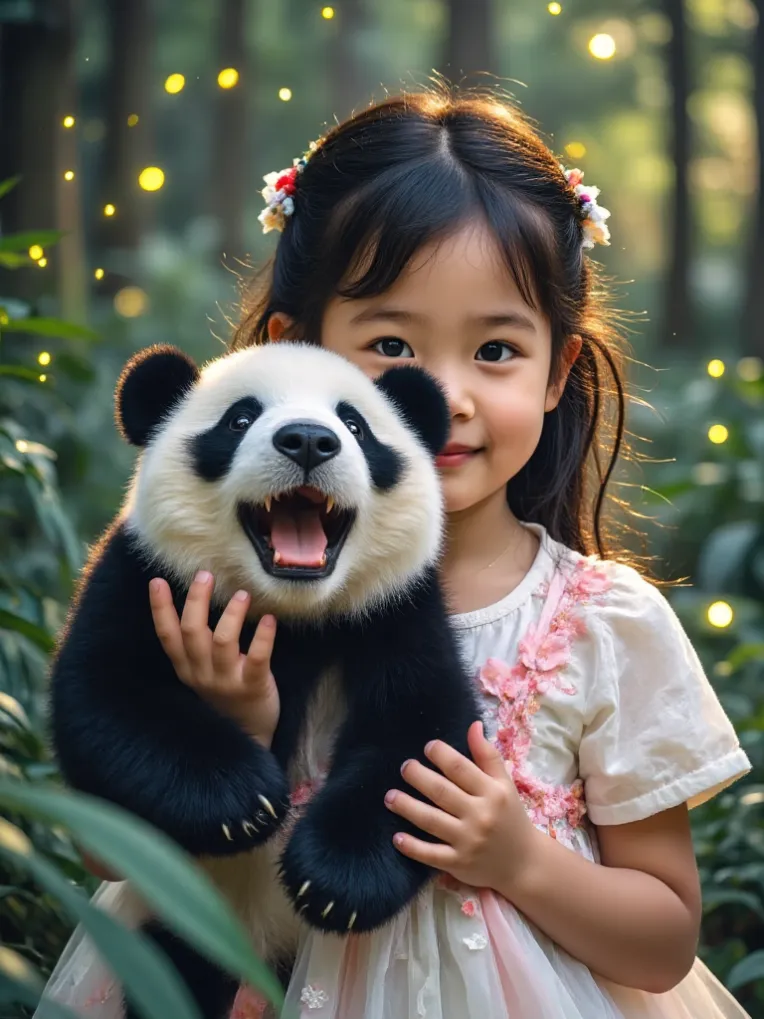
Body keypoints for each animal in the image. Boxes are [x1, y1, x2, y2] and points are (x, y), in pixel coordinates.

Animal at [49, 341, 480, 1019]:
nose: (308, 441)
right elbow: (104, 698)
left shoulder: (398, 609)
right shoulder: (144, 574)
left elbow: (421, 743)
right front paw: (242, 801)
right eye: (240, 419)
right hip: (187, 915)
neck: (292, 613)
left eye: (355, 424)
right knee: (174, 979)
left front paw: (334, 881)